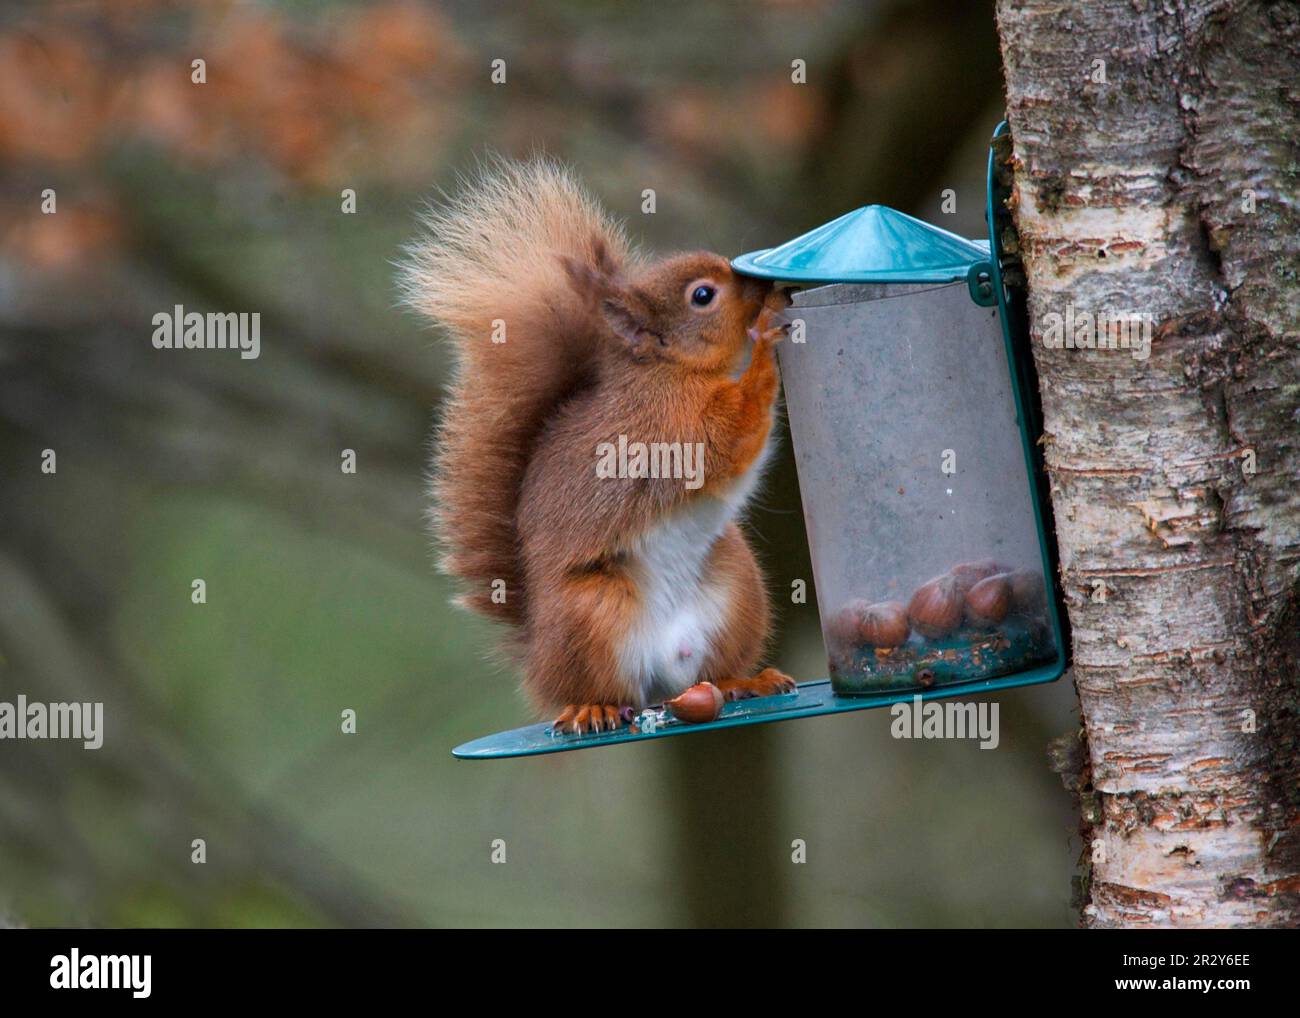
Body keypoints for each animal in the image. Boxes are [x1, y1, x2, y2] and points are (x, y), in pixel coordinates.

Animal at [401, 157, 795, 733]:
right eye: (703, 295)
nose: (761, 281)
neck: (668, 371)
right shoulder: (676, 429)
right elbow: (736, 432)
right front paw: (766, 336)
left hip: (736, 584)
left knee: (716, 674)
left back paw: (745, 681)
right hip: (591, 610)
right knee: (599, 686)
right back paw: (594, 707)